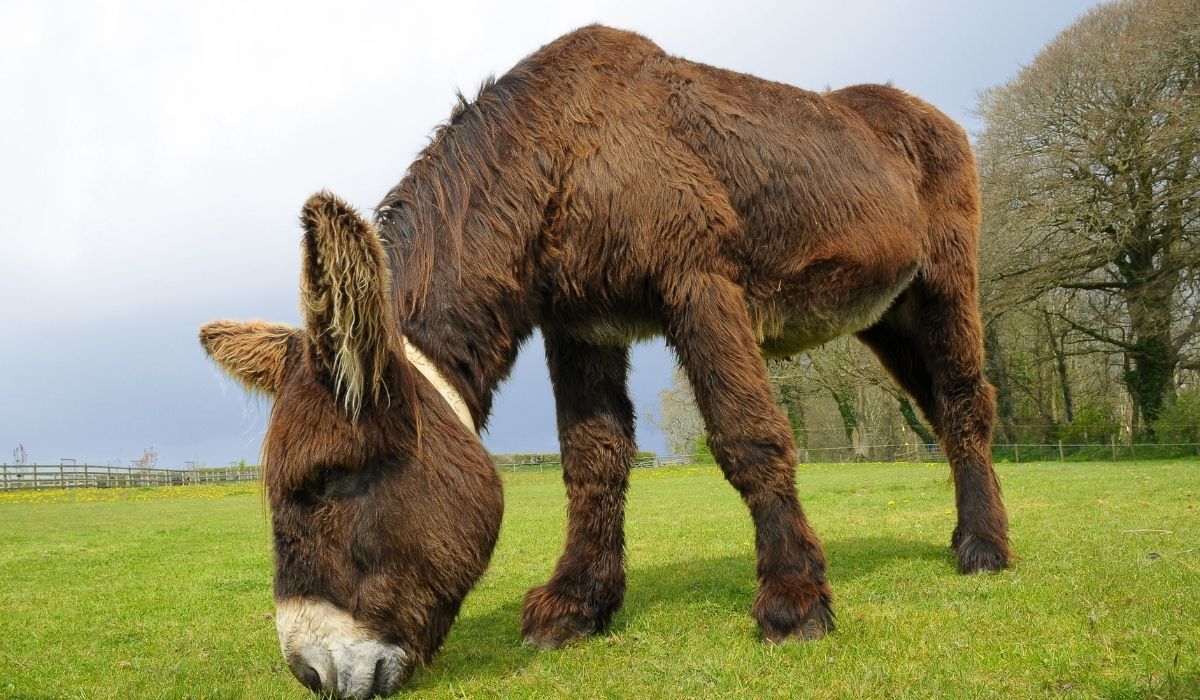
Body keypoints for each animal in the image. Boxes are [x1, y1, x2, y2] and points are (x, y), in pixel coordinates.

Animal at [200, 24, 1010, 698]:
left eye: (328, 481)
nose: (310, 672)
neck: (555, 153)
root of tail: (919, 109)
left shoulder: (701, 284)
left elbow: (747, 437)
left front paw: (793, 600)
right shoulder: (580, 328)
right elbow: (592, 461)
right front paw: (578, 605)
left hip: (943, 282)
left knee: (966, 401)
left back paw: (983, 549)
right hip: (887, 313)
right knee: (940, 410)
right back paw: (970, 530)